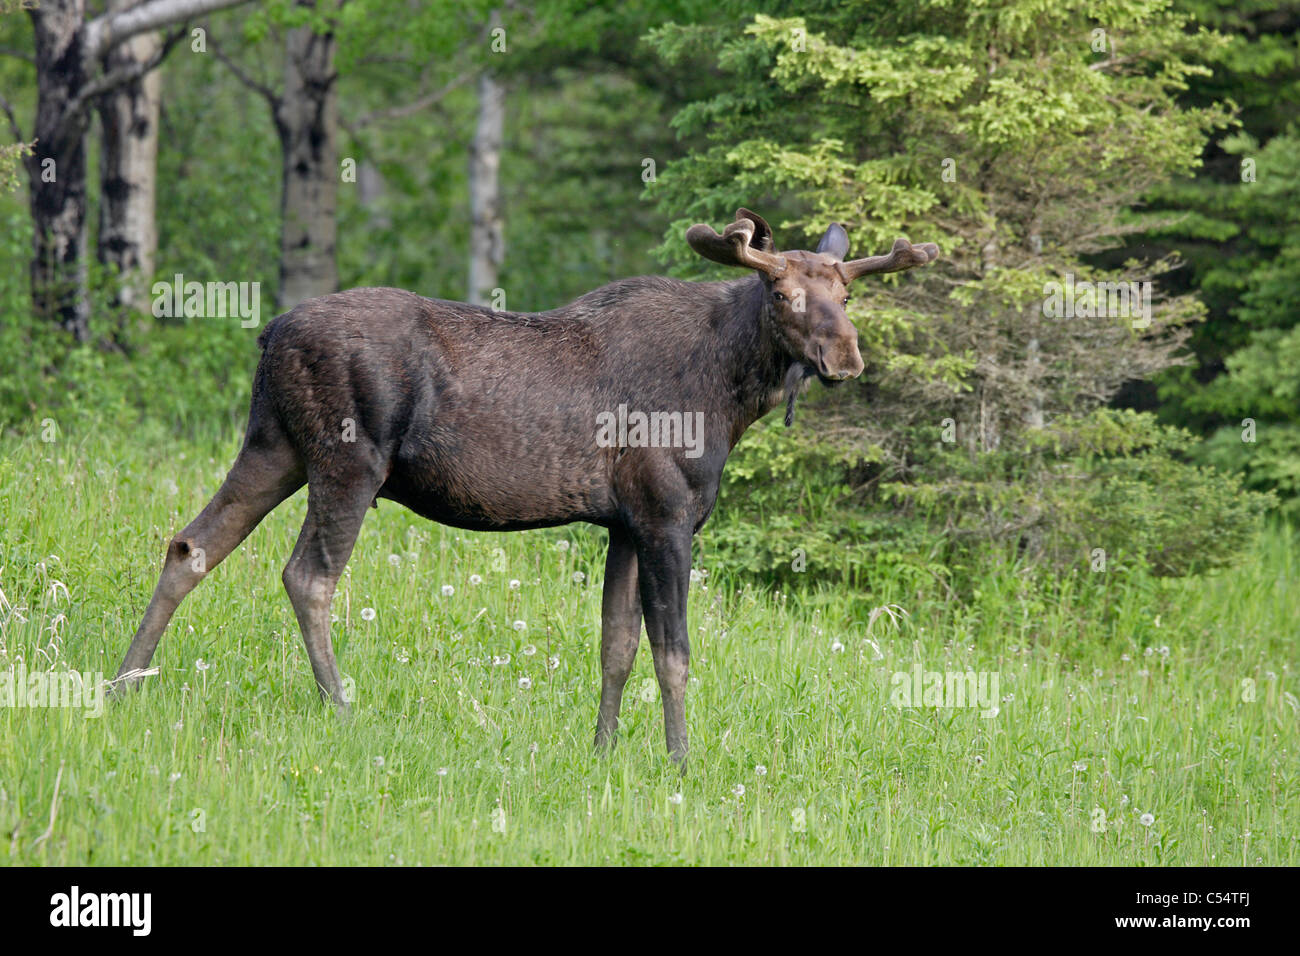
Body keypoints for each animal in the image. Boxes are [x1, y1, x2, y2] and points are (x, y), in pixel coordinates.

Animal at [111, 209, 938, 762]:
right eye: (785, 297)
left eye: (846, 296)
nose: (847, 356)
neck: (732, 395)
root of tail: (269, 331)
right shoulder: (666, 515)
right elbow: (674, 651)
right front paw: (680, 761)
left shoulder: (622, 523)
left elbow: (616, 646)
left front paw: (603, 753)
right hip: (347, 462)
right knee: (307, 575)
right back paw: (340, 709)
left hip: (274, 445)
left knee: (190, 545)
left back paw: (122, 683)